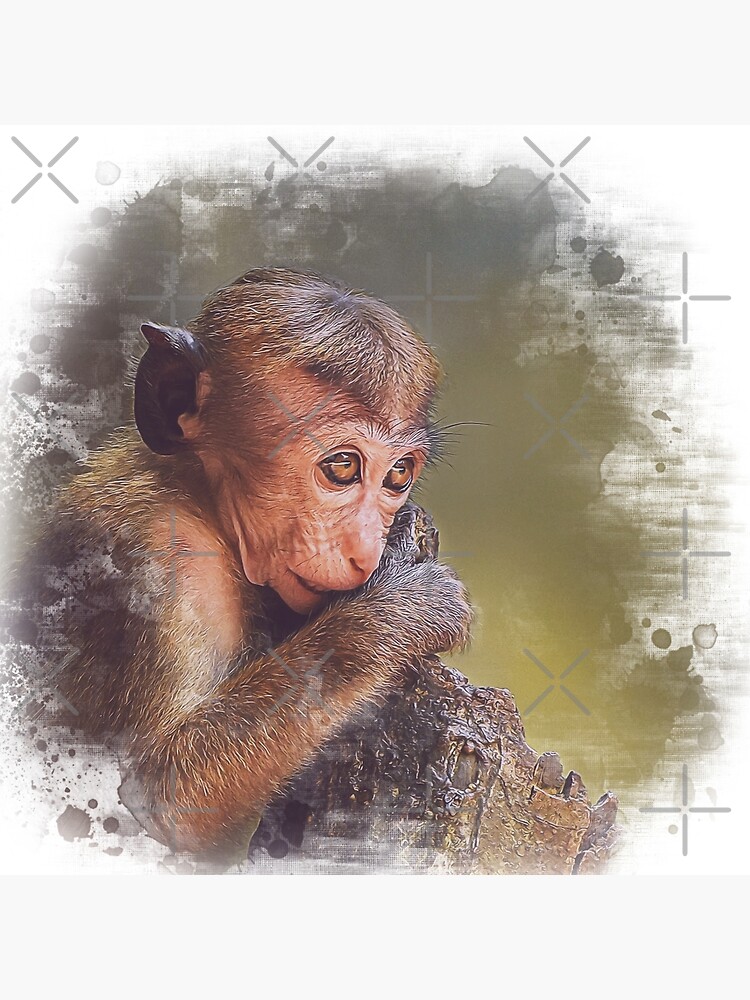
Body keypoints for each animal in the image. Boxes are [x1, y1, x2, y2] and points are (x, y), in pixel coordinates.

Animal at [19, 267, 473, 863]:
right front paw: (400, 608)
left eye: (398, 474)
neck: (199, 498)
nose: (365, 548)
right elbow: (160, 794)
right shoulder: (170, 566)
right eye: (342, 467)